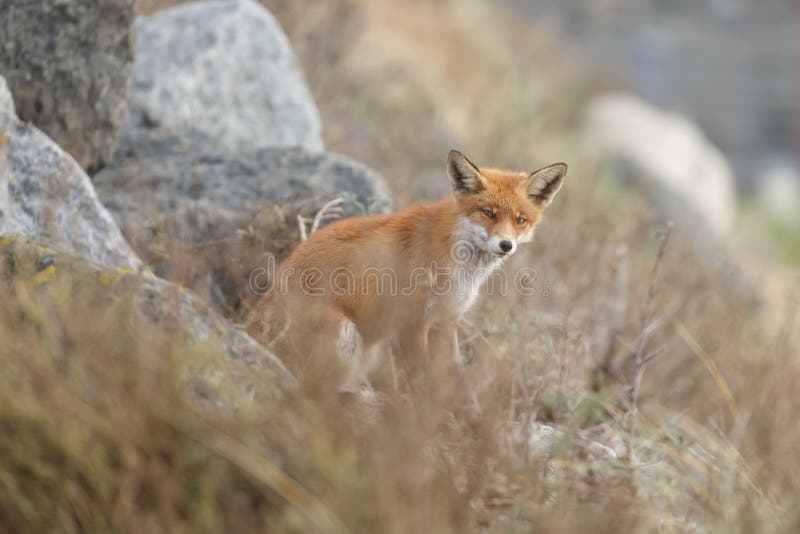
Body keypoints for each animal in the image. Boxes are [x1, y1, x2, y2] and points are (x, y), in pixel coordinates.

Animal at [246, 150, 567, 393]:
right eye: (488, 213)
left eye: (520, 220)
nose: (505, 245)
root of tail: (250, 323)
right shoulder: (411, 321)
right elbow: (420, 374)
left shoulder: (446, 321)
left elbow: (452, 374)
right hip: (345, 334)